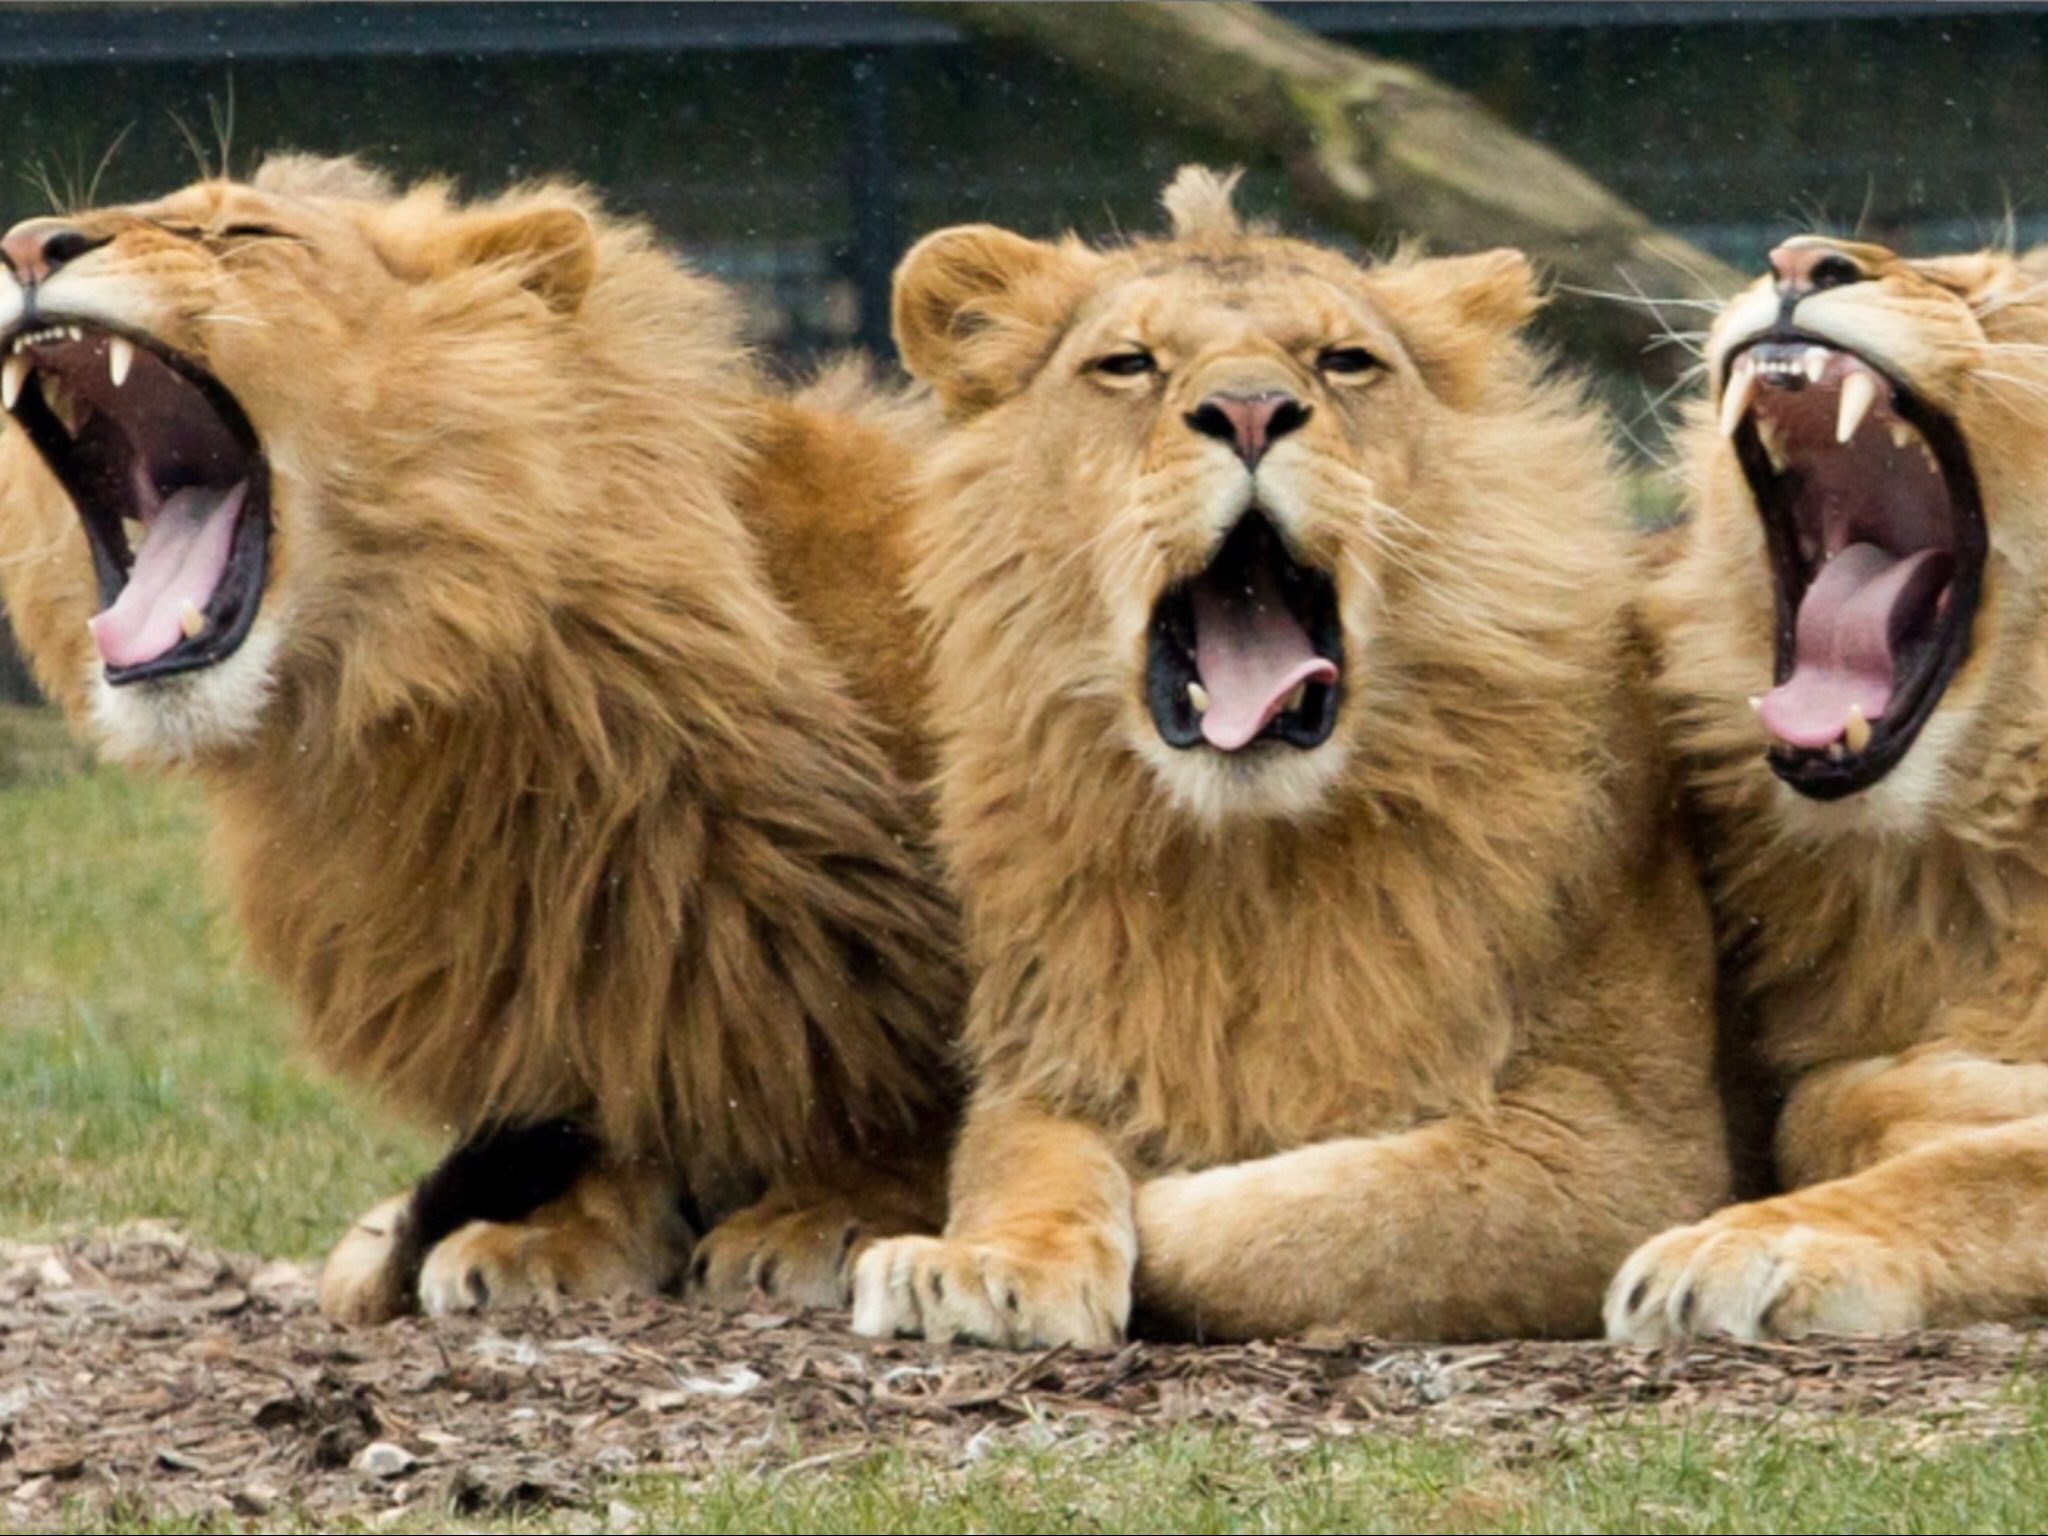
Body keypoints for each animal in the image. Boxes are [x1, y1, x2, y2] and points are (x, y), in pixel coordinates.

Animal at [0, 155, 961, 1321]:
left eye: (242, 234)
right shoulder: (600, 941)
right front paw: (561, 1235)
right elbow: (621, 1093)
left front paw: (832, 1210)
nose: (26, 246)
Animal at [845, 168, 1730, 1348]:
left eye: (1343, 362)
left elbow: (1328, 1213)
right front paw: (988, 1265)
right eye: (1127, 365)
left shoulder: (1630, 1145)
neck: (1248, 864)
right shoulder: (1057, 1052)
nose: (1252, 412)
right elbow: (1021, 1159)